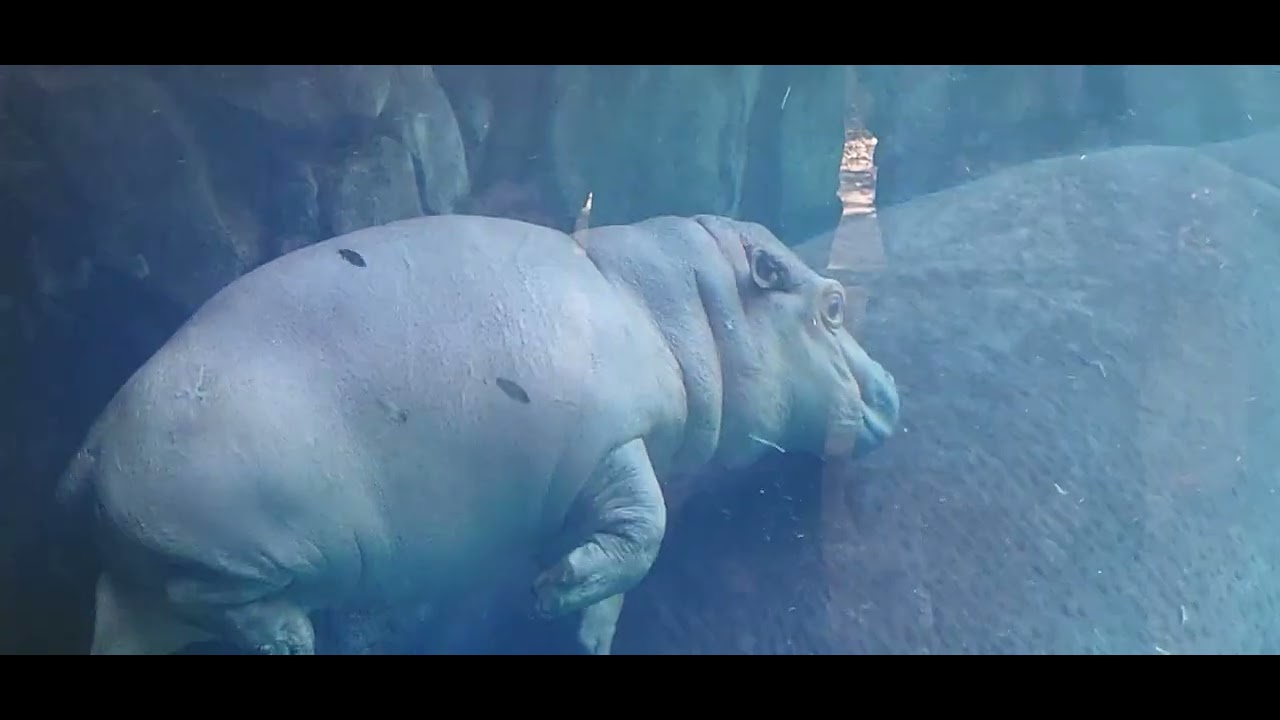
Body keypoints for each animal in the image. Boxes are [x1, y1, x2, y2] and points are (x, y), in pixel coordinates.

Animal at [55, 212, 900, 655]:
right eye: (832, 306)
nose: (894, 390)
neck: (676, 302)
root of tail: (90, 444)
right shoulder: (615, 443)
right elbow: (647, 529)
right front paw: (553, 593)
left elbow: (629, 561)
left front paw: (587, 632)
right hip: (246, 541)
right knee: (218, 593)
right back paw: (293, 637)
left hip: (137, 589)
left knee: (139, 614)